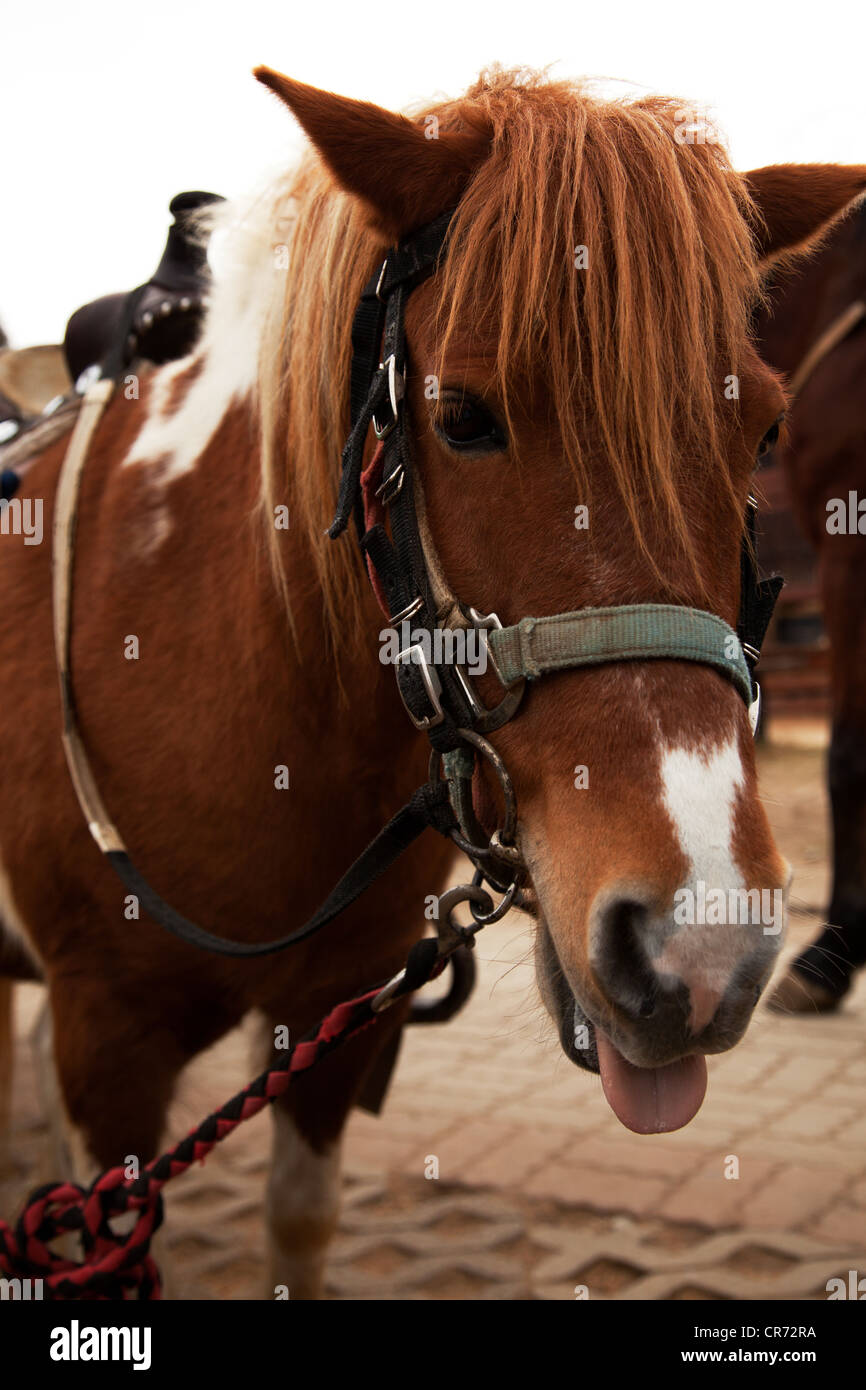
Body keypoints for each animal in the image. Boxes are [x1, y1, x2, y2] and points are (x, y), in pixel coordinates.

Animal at [0, 65, 863, 1299]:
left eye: (764, 428)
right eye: (460, 417)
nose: (700, 945)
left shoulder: (333, 1024)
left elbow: (299, 1222)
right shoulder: (106, 1039)